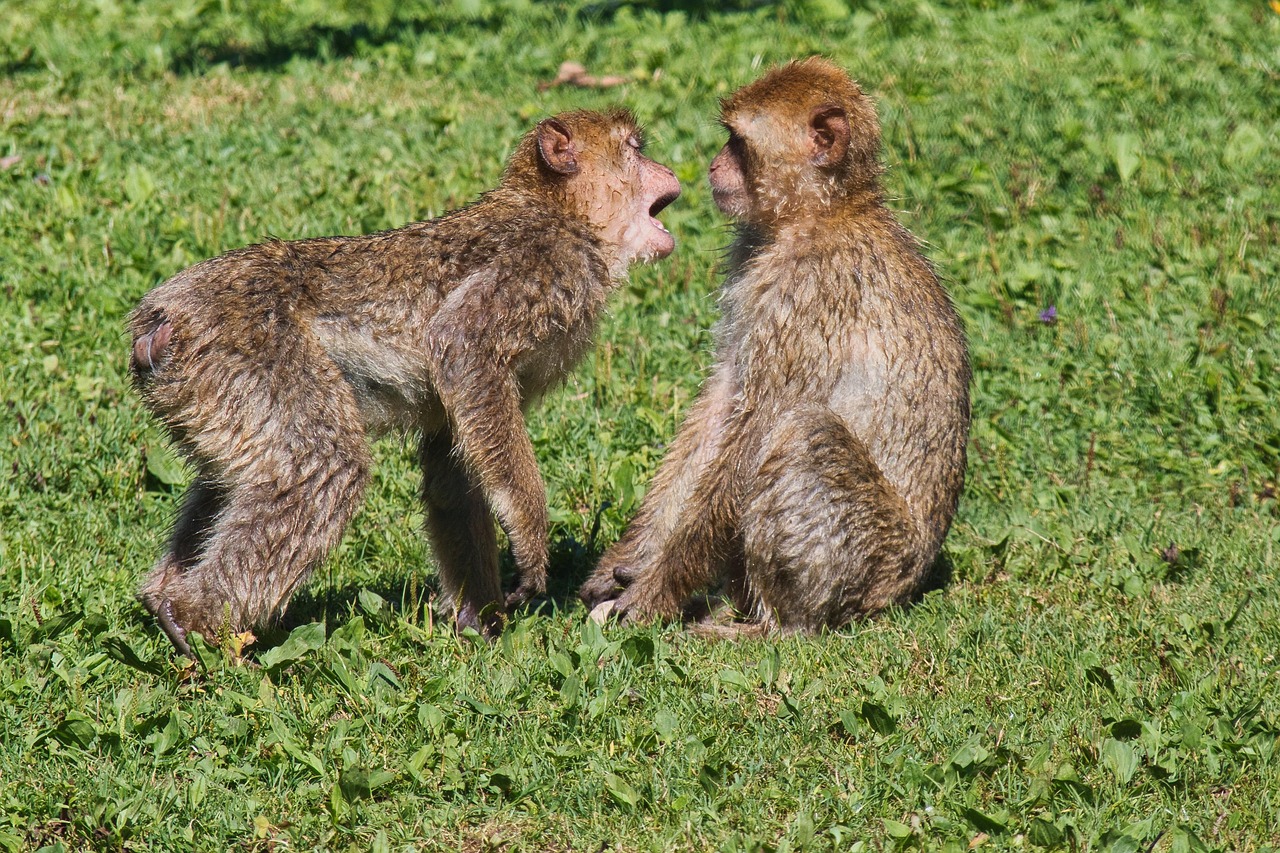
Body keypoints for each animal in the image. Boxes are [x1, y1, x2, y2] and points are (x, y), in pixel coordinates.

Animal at [129, 109, 680, 654]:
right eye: (635, 149)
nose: (670, 172)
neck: (565, 217)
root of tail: (162, 319)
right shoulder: (543, 265)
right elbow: (462, 342)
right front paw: (527, 536)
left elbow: (454, 463)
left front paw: (481, 623)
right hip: (248, 348)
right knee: (325, 465)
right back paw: (192, 618)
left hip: (208, 389)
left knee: (234, 474)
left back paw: (164, 597)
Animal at [580, 58, 970, 633]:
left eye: (738, 143)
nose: (713, 165)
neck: (816, 217)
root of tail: (900, 590)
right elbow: (722, 403)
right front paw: (626, 563)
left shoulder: (808, 293)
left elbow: (755, 427)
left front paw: (656, 591)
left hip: (869, 563)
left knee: (805, 433)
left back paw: (770, 628)